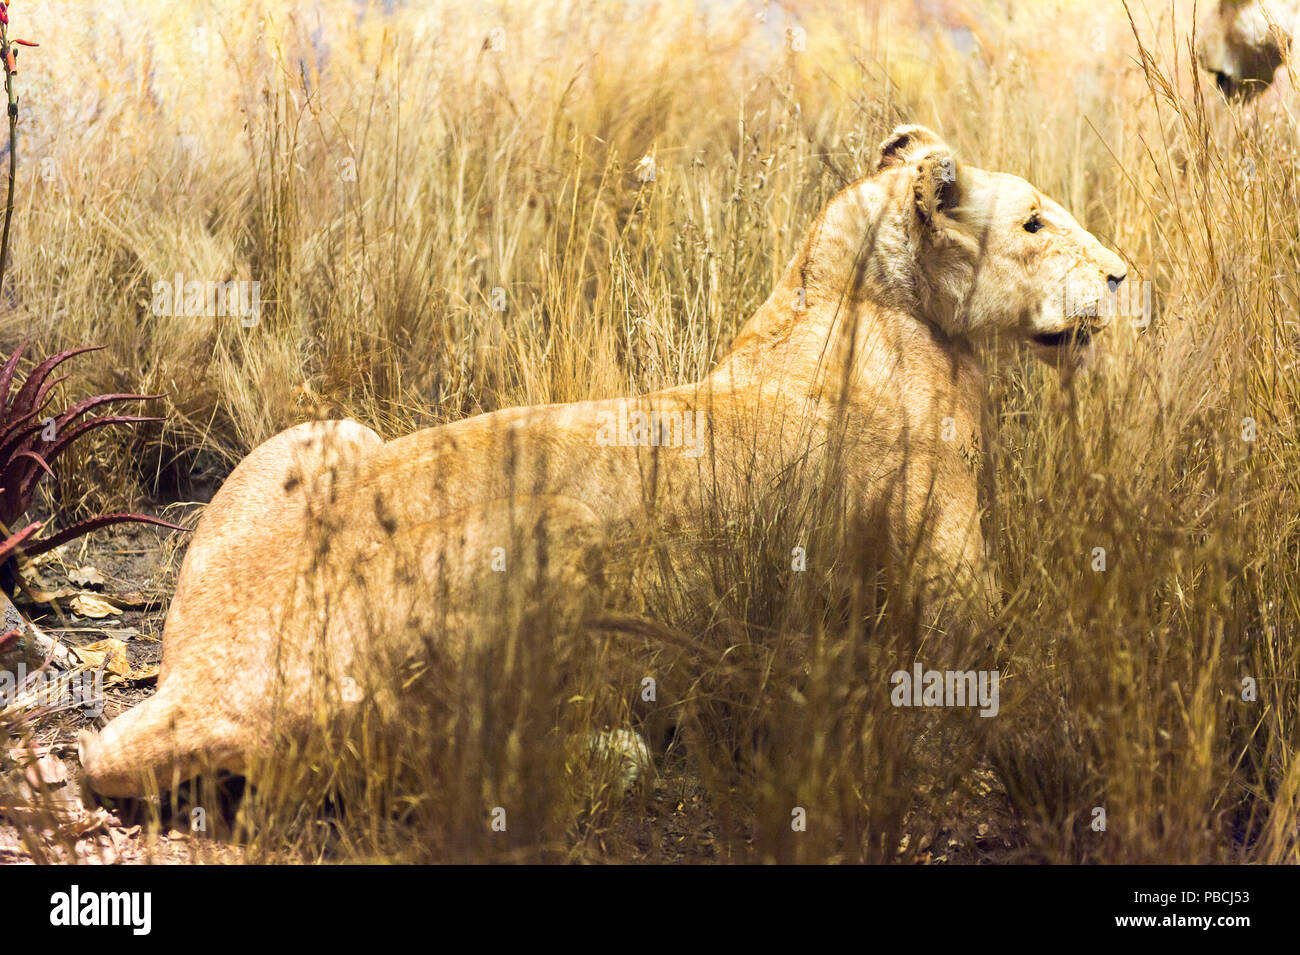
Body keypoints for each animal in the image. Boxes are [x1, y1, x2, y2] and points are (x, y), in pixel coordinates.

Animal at [77, 125, 1127, 798]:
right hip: (551, 531)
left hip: (326, 432)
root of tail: (193, 687)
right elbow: (1008, 645)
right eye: (1033, 222)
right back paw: (622, 748)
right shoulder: (945, 553)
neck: (857, 287)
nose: (1123, 277)